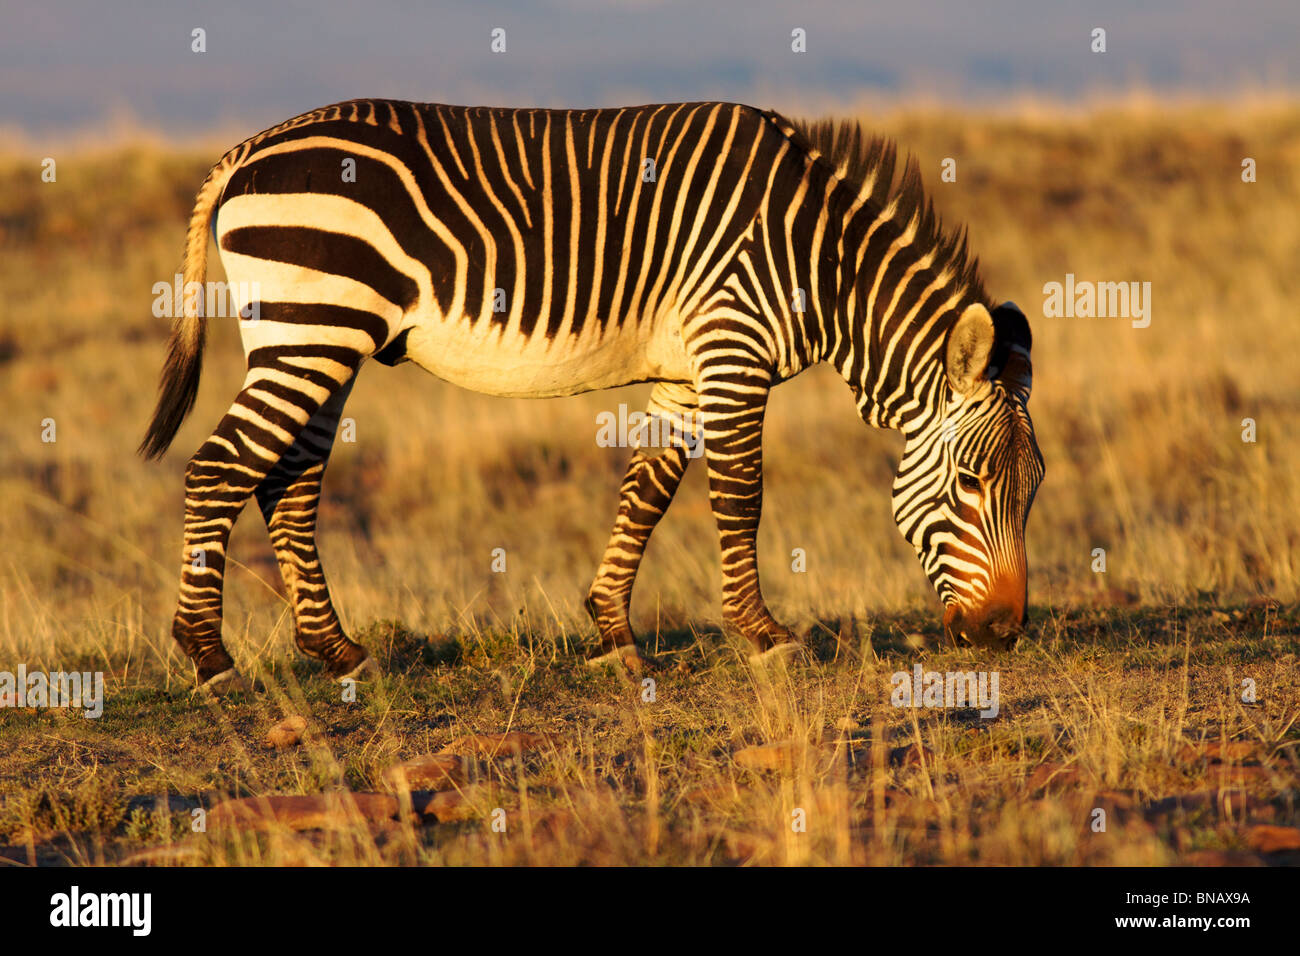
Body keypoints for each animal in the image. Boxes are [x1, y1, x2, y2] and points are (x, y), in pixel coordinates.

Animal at [139, 99, 1044, 690]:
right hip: (312, 329)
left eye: (1031, 491)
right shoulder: (734, 345)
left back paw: (336, 651)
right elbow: (740, 496)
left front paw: (611, 629)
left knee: (289, 483)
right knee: (218, 470)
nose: (1004, 634)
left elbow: (647, 493)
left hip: (319, 339)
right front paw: (764, 636)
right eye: (971, 483)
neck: (822, 259)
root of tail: (248, 148)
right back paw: (209, 658)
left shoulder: (684, 371)